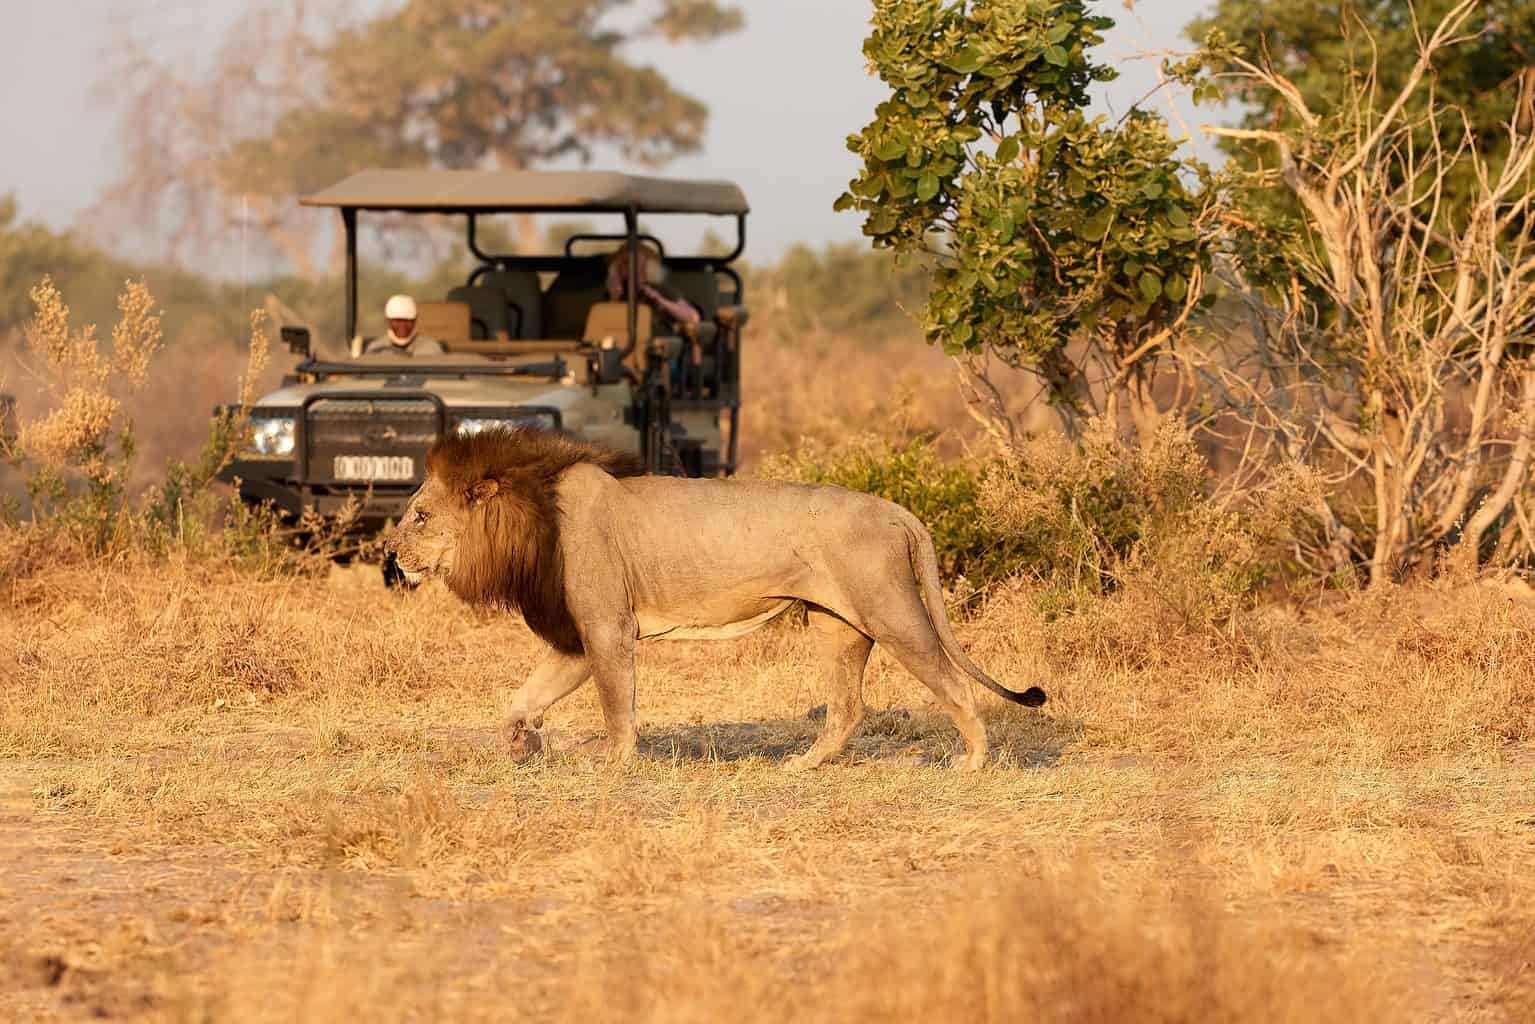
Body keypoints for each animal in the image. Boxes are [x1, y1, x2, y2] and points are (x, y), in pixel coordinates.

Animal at [384, 427, 1046, 771]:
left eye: (420, 516)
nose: (391, 554)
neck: (532, 515)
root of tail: (897, 510)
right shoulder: (576, 637)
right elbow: (521, 700)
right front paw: (523, 742)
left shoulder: (605, 627)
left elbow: (616, 705)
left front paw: (615, 763)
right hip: (837, 624)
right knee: (847, 708)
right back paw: (800, 766)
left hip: (891, 612)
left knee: (952, 682)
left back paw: (973, 762)